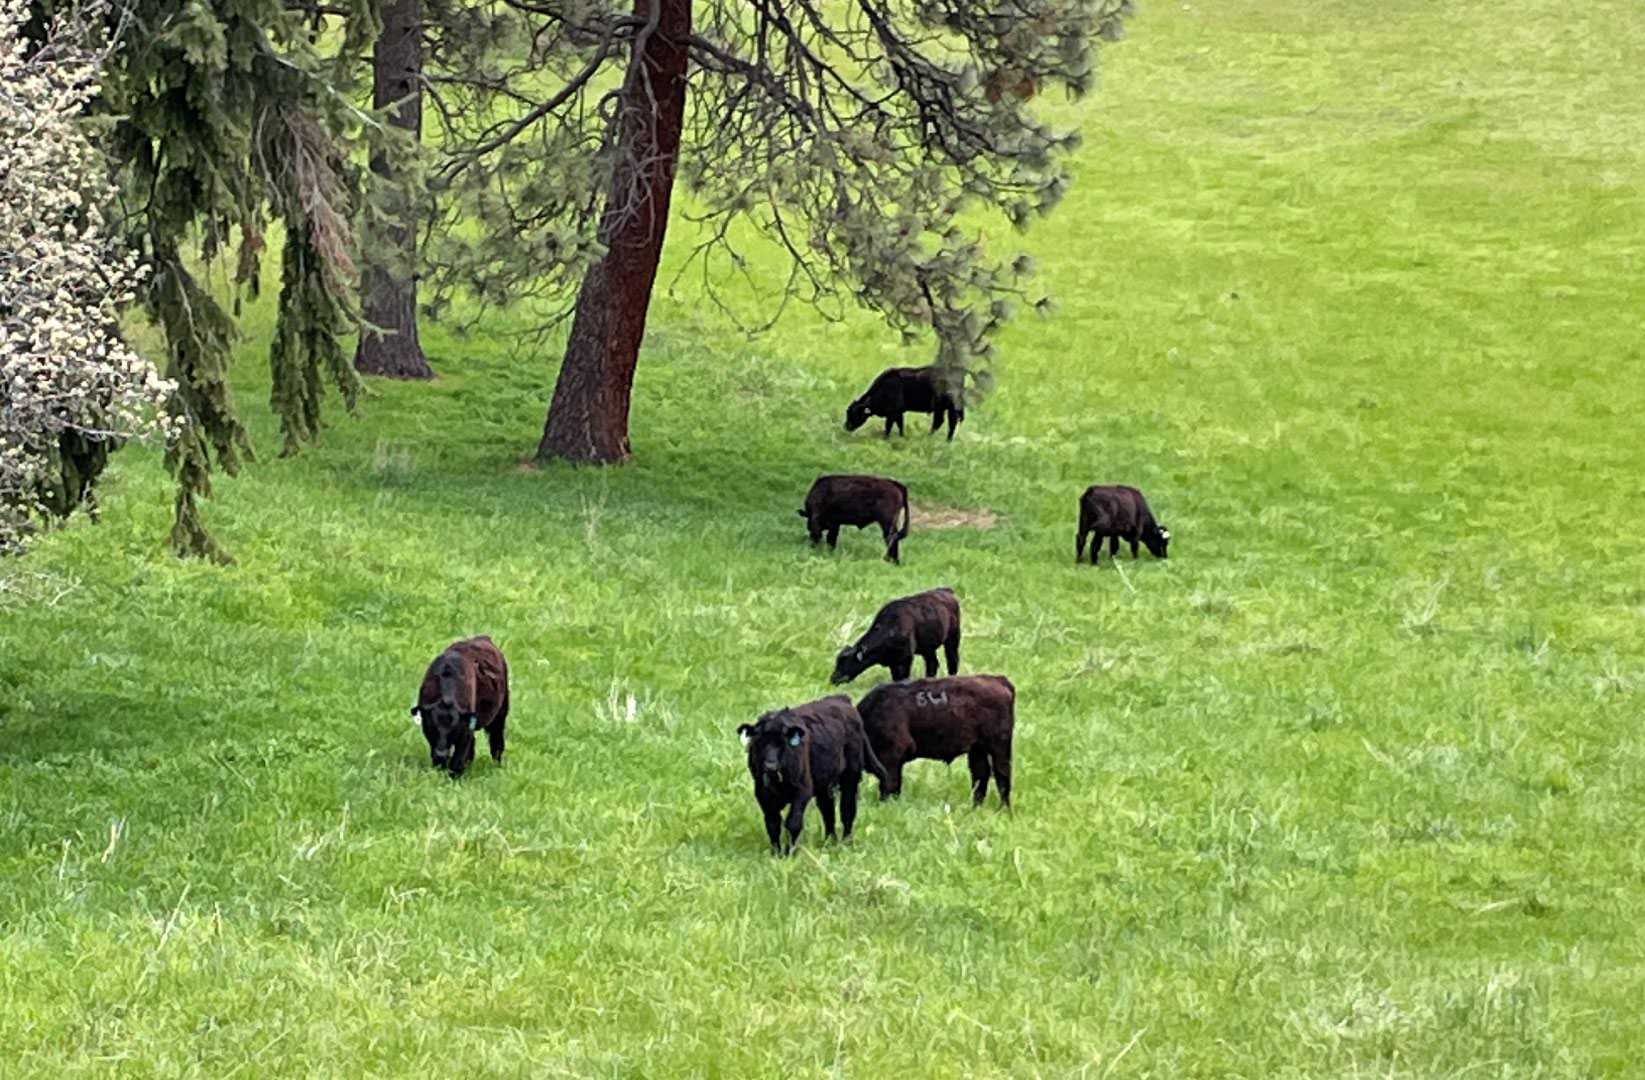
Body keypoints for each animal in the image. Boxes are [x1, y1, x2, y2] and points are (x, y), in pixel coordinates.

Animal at [410, 636, 510, 778]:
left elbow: (458, 758)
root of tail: (485, 638)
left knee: (496, 742)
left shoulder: (465, 728)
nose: (441, 753)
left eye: (454, 729)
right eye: (432, 726)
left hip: (500, 715)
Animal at [737, 695, 888, 856]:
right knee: (828, 811)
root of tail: (842, 699)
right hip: (824, 784)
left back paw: (846, 841)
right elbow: (772, 824)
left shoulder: (803, 789)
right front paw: (776, 854)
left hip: (851, 774)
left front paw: (789, 853)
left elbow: (793, 822)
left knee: (847, 808)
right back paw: (830, 841)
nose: (770, 766)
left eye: (782, 742)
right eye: (759, 742)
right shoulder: (763, 793)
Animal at [831, 587, 962, 685]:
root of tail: (947, 591)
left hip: (952, 639)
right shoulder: (893, 663)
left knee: (952, 659)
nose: (833, 679)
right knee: (933, 663)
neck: (890, 627)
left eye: (845, 662)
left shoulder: (904, 660)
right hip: (928, 649)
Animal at [855, 675, 1015, 808]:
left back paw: (1004, 809)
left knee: (1002, 774)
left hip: (998, 747)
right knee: (981, 775)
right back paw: (975, 808)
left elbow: (889, 785)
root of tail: (998, 679)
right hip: (977, 749)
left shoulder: (891, 757)